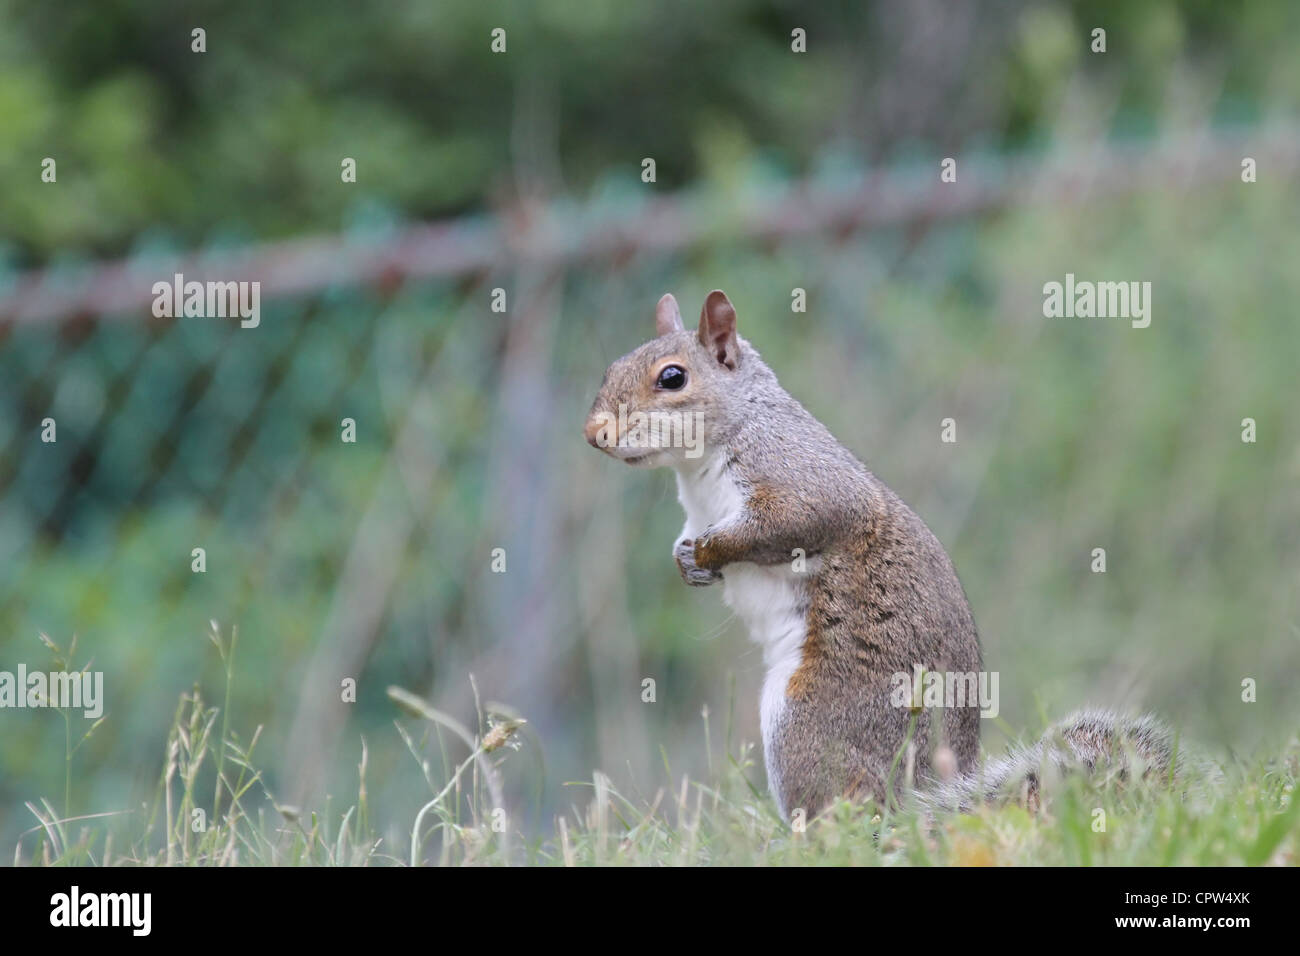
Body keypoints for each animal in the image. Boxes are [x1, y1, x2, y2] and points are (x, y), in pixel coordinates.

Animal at [584, 290, 1179, 821]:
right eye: (610, 367)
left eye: (673, 378)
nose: (594, 434)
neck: (699, 465)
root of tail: (925, 790)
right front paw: (687, 561)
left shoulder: (797, 480)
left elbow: (787, 524)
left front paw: (711, 549)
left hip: (806, 724)